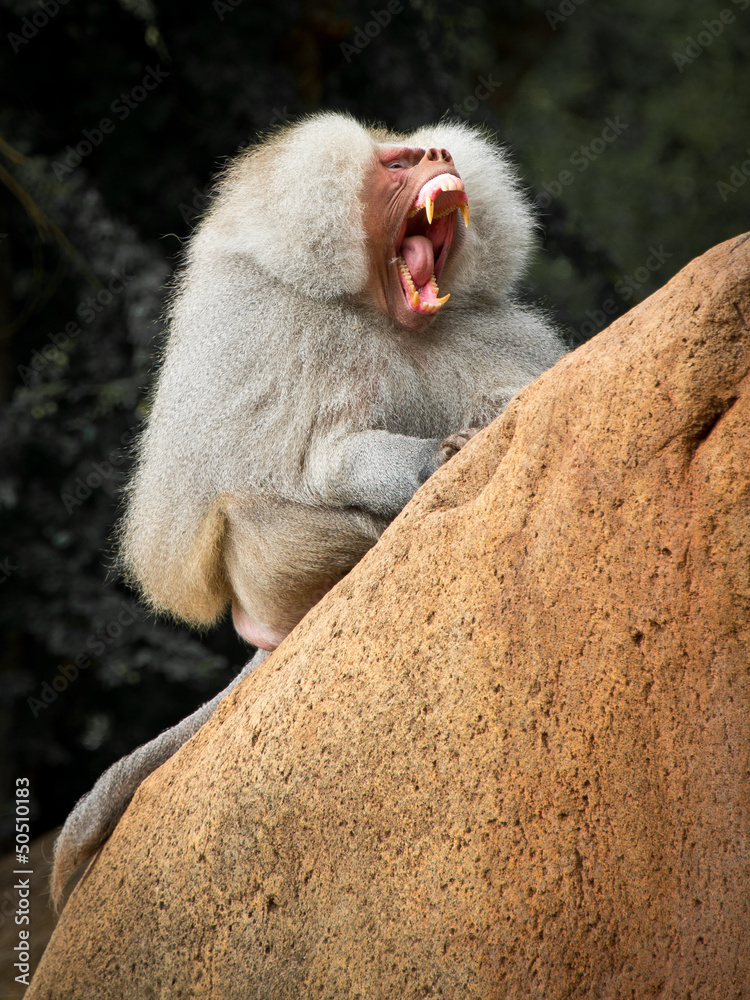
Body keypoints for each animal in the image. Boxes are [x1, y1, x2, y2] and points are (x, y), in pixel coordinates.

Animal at [51, 112, 565, 908]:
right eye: (398, 163)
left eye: (430, 152)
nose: (441, 154)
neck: (385, 316)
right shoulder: (272, 328)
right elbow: (321, 462)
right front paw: (436, 457)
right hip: (277, 573)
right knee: (267, 508)